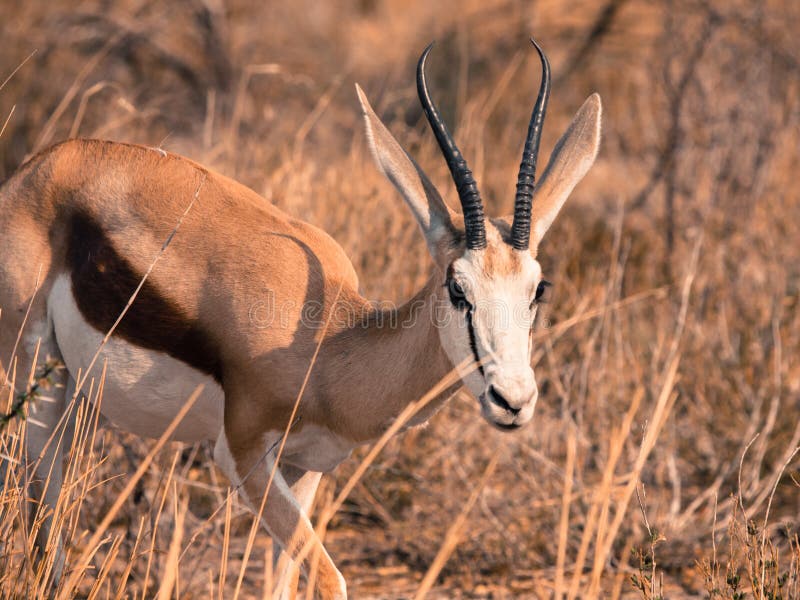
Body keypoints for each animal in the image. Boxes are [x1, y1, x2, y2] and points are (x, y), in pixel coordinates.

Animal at [0, 39, 600, 598]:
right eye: (458, 287)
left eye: (538, 289)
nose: (513, 400)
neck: (327, 348)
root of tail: (40, 164)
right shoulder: (241, 455)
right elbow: (331, 579)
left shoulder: (304, 466)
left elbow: (281, 581)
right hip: (34, 377)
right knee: (40, 524)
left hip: (74, 394)